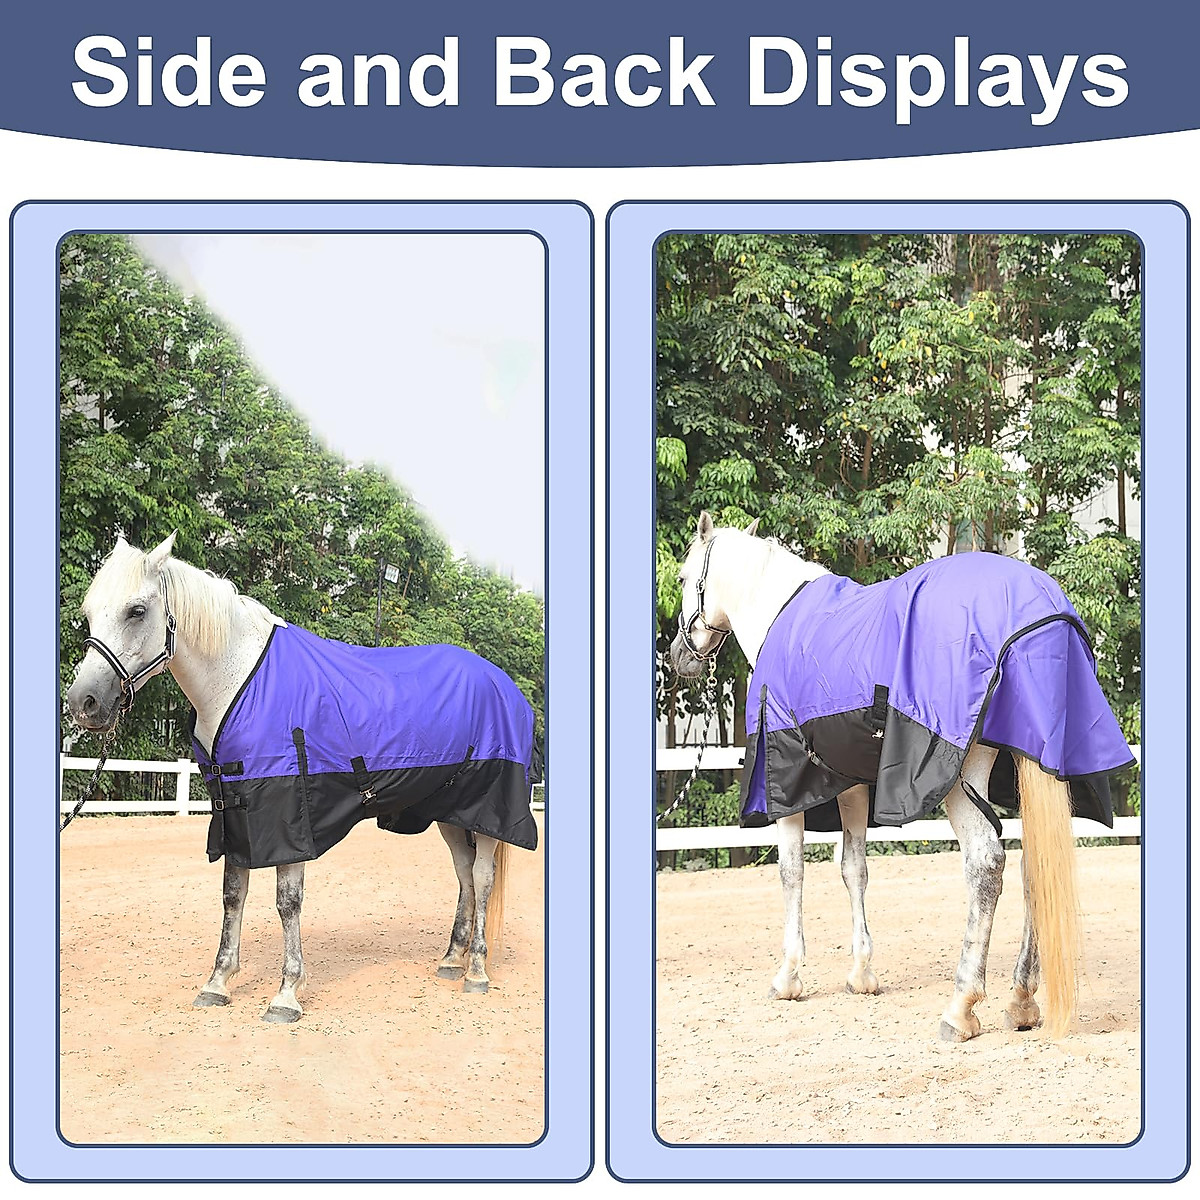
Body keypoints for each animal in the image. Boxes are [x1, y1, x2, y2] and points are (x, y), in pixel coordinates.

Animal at [65, 534, 539, 1023]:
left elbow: (287, 902)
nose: (83, 702)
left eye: (137, 610)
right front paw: (218, 982)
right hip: (450, 812)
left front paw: (286, 993)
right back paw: (450, 959)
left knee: (482, 877)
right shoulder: (234, 811)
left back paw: (476, 971)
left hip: (487, 811)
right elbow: (233, 894)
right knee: (464, 875)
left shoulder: (287, 816)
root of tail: (506, 686)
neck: (238, 682)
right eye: (89, 611)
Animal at [668, 511, 1135, 1042]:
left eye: (682, 579)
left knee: (985, 864)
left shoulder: (785, 784)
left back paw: (961, 1007)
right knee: (1033, 865)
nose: (679, 657)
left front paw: (787, 977)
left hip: (963, 777)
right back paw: (1021, 1000)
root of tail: (1043, 613)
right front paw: (861, 974)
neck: (779, 614)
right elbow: (854, 869)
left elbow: (792, 873)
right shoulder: (847, 783)